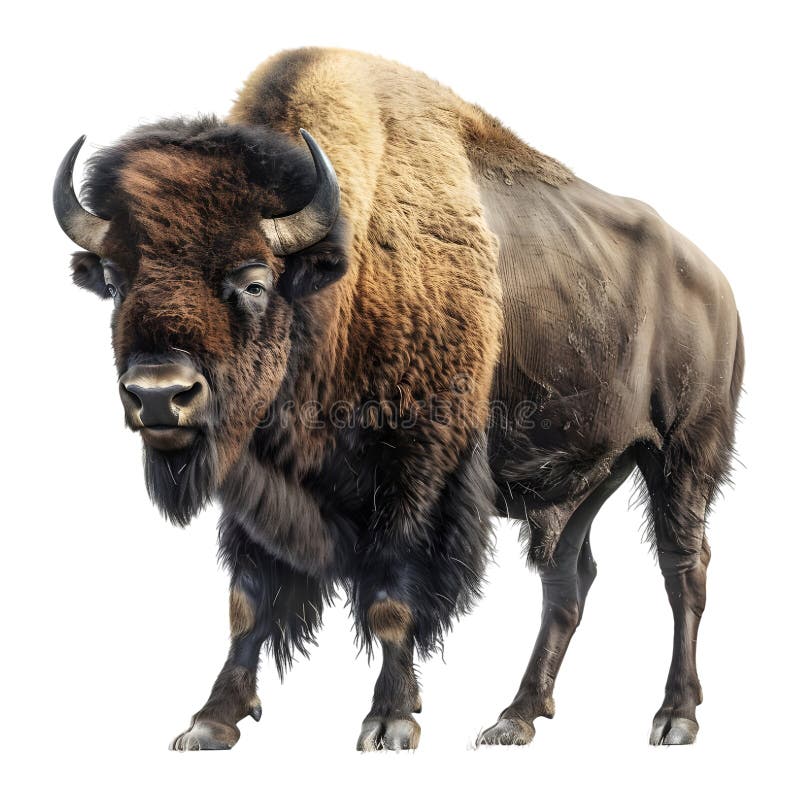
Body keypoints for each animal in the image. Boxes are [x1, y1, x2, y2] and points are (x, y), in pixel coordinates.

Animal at [53, 47, 743, 750]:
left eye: (253, 281)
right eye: (114, 279)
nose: (159, 395)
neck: (335, 281)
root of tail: (715, 283)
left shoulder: (417, 471)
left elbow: (391, 597)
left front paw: (388, 721)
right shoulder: (257, 482)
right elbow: (247, 599)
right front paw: (211, 720)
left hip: (683, 454)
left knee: (683, 569)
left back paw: (674, 717)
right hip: (584, 483)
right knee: (566, 580)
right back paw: (515, 718)